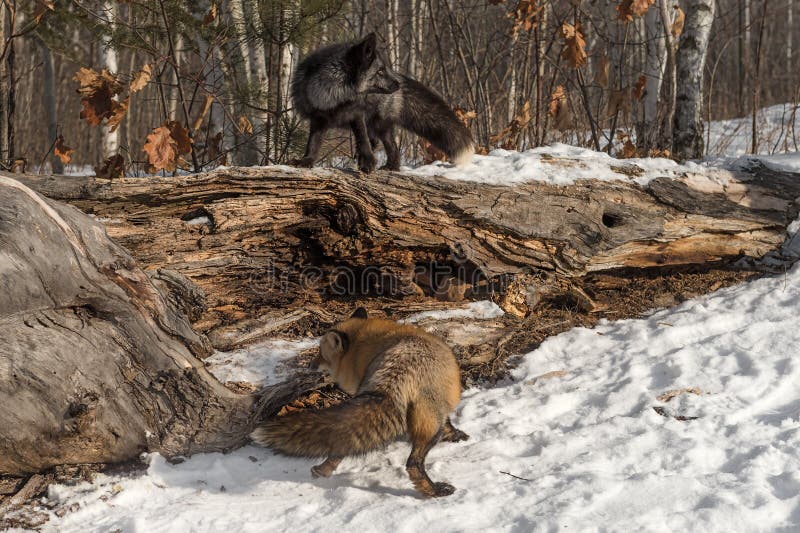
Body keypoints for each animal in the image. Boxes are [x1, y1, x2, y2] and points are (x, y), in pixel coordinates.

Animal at [250, 307, 469, 498]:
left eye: (321, 354)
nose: (310, 365)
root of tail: (398, 373)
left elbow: (448, 421)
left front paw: (457, 435)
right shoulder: (439, 411)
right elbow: (448, 423)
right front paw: (456, 435)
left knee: (341, 447)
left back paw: (322, 471)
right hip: (431, 428)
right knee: (413, 464)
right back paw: (434, 491)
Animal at [290, 34, 474, 172]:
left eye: (384, 70)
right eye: (379, 71)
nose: (398, 84)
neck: (335, 99)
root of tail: (400, 76)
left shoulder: (357, 114)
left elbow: (362, 139)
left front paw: (368, 162)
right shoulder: (318, 119)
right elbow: (313, 143)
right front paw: (306, 161)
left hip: (379, 124)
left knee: (391, 146)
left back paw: (390, 167)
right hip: (375, 125)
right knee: (379, 142)